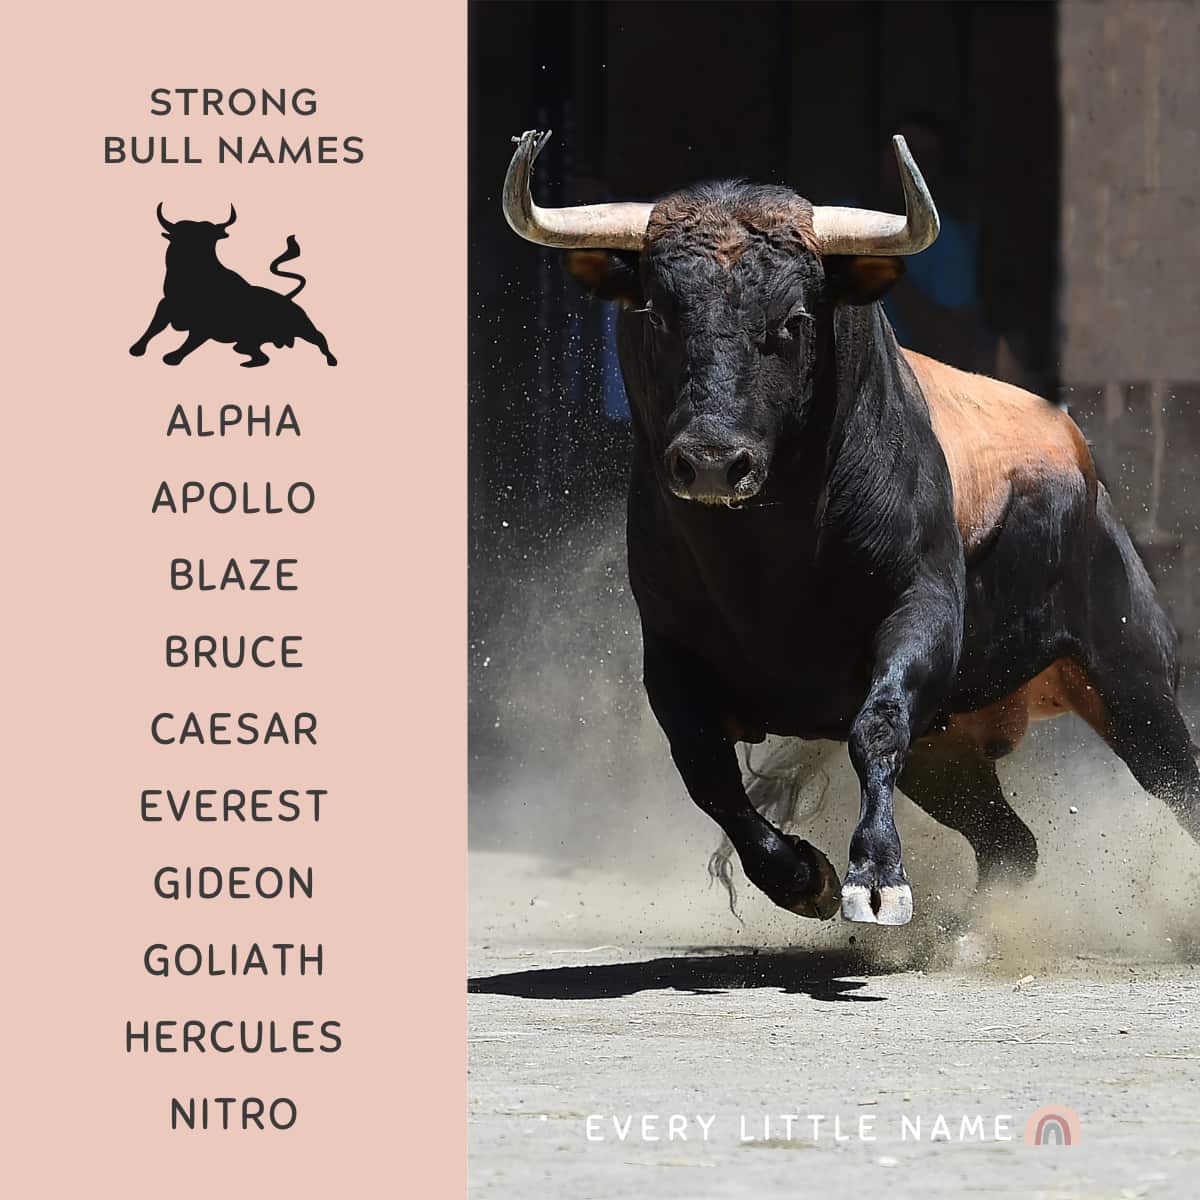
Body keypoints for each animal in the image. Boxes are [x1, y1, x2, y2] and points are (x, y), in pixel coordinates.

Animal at [129, 204, 337, 368]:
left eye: (209, 239)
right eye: (181, 236)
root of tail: (287, 299)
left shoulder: (206, 323)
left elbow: (190, 340)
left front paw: (173, 357)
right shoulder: (165, 307)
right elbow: (152, 328)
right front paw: (136, 348)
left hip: (304, 327)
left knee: (319, 337)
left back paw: (332, 360)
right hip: (248, 342)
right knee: (260, 356)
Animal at [501, 128, 1200, 929]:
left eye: (791, 321)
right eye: (659, 314)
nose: (711, 463)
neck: (766, 561)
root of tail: (1083, 465)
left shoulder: (920, 615)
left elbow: (877, 726)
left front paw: (877, 878)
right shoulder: (670, 649)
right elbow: (703, 768)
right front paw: (801, 875)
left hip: (1134, 683)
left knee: (1175, 786)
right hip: (950, 751)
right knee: (1010, 846)